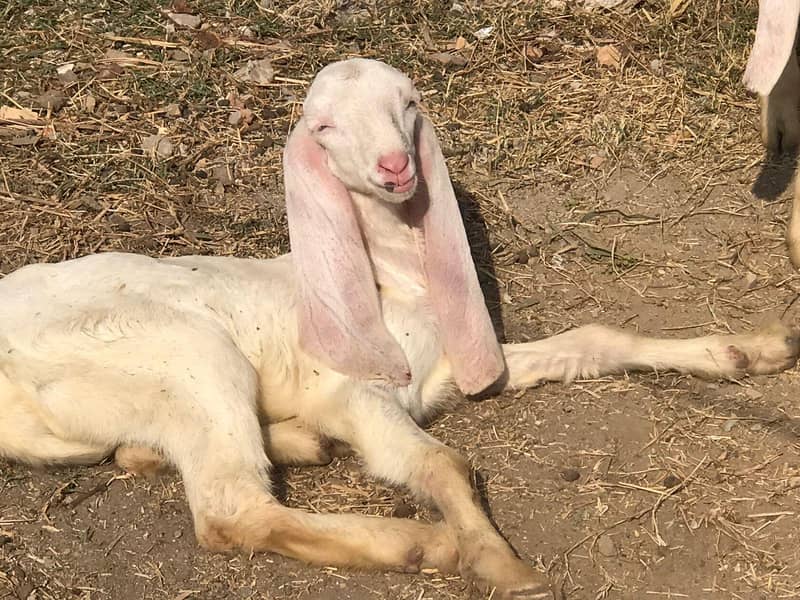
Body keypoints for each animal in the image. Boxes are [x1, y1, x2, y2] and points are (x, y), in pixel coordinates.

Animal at [0, 58, 797, 600]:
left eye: (408, 104)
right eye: (323, 127)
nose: (394, 167)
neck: (392, 283)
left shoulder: (462, 362)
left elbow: (594, 340)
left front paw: (756, 349)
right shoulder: (358, 388)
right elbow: (442, 463)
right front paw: (501, 563)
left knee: (145, 455)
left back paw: (301, 443)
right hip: (180, 353)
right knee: (231, 511)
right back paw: (421, 544)